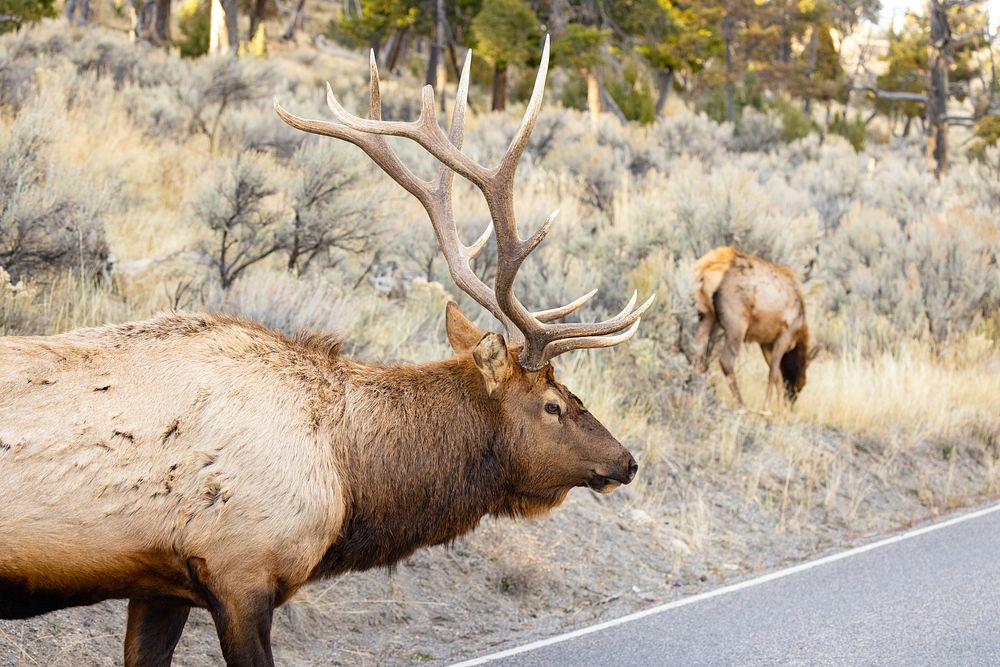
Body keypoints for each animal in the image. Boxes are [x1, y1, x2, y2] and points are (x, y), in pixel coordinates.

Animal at [692, 246, 815, 414]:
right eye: (803, 379)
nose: (791, 402)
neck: (800, 330)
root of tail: (707, 268)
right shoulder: (785, 334)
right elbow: (773, 372)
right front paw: (768, 408)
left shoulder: (765, 342)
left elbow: (777, 374)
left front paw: (779, 409)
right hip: (737, 323)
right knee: (726, 360)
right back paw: (741, 405)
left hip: (706, 315)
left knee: (696, 350)